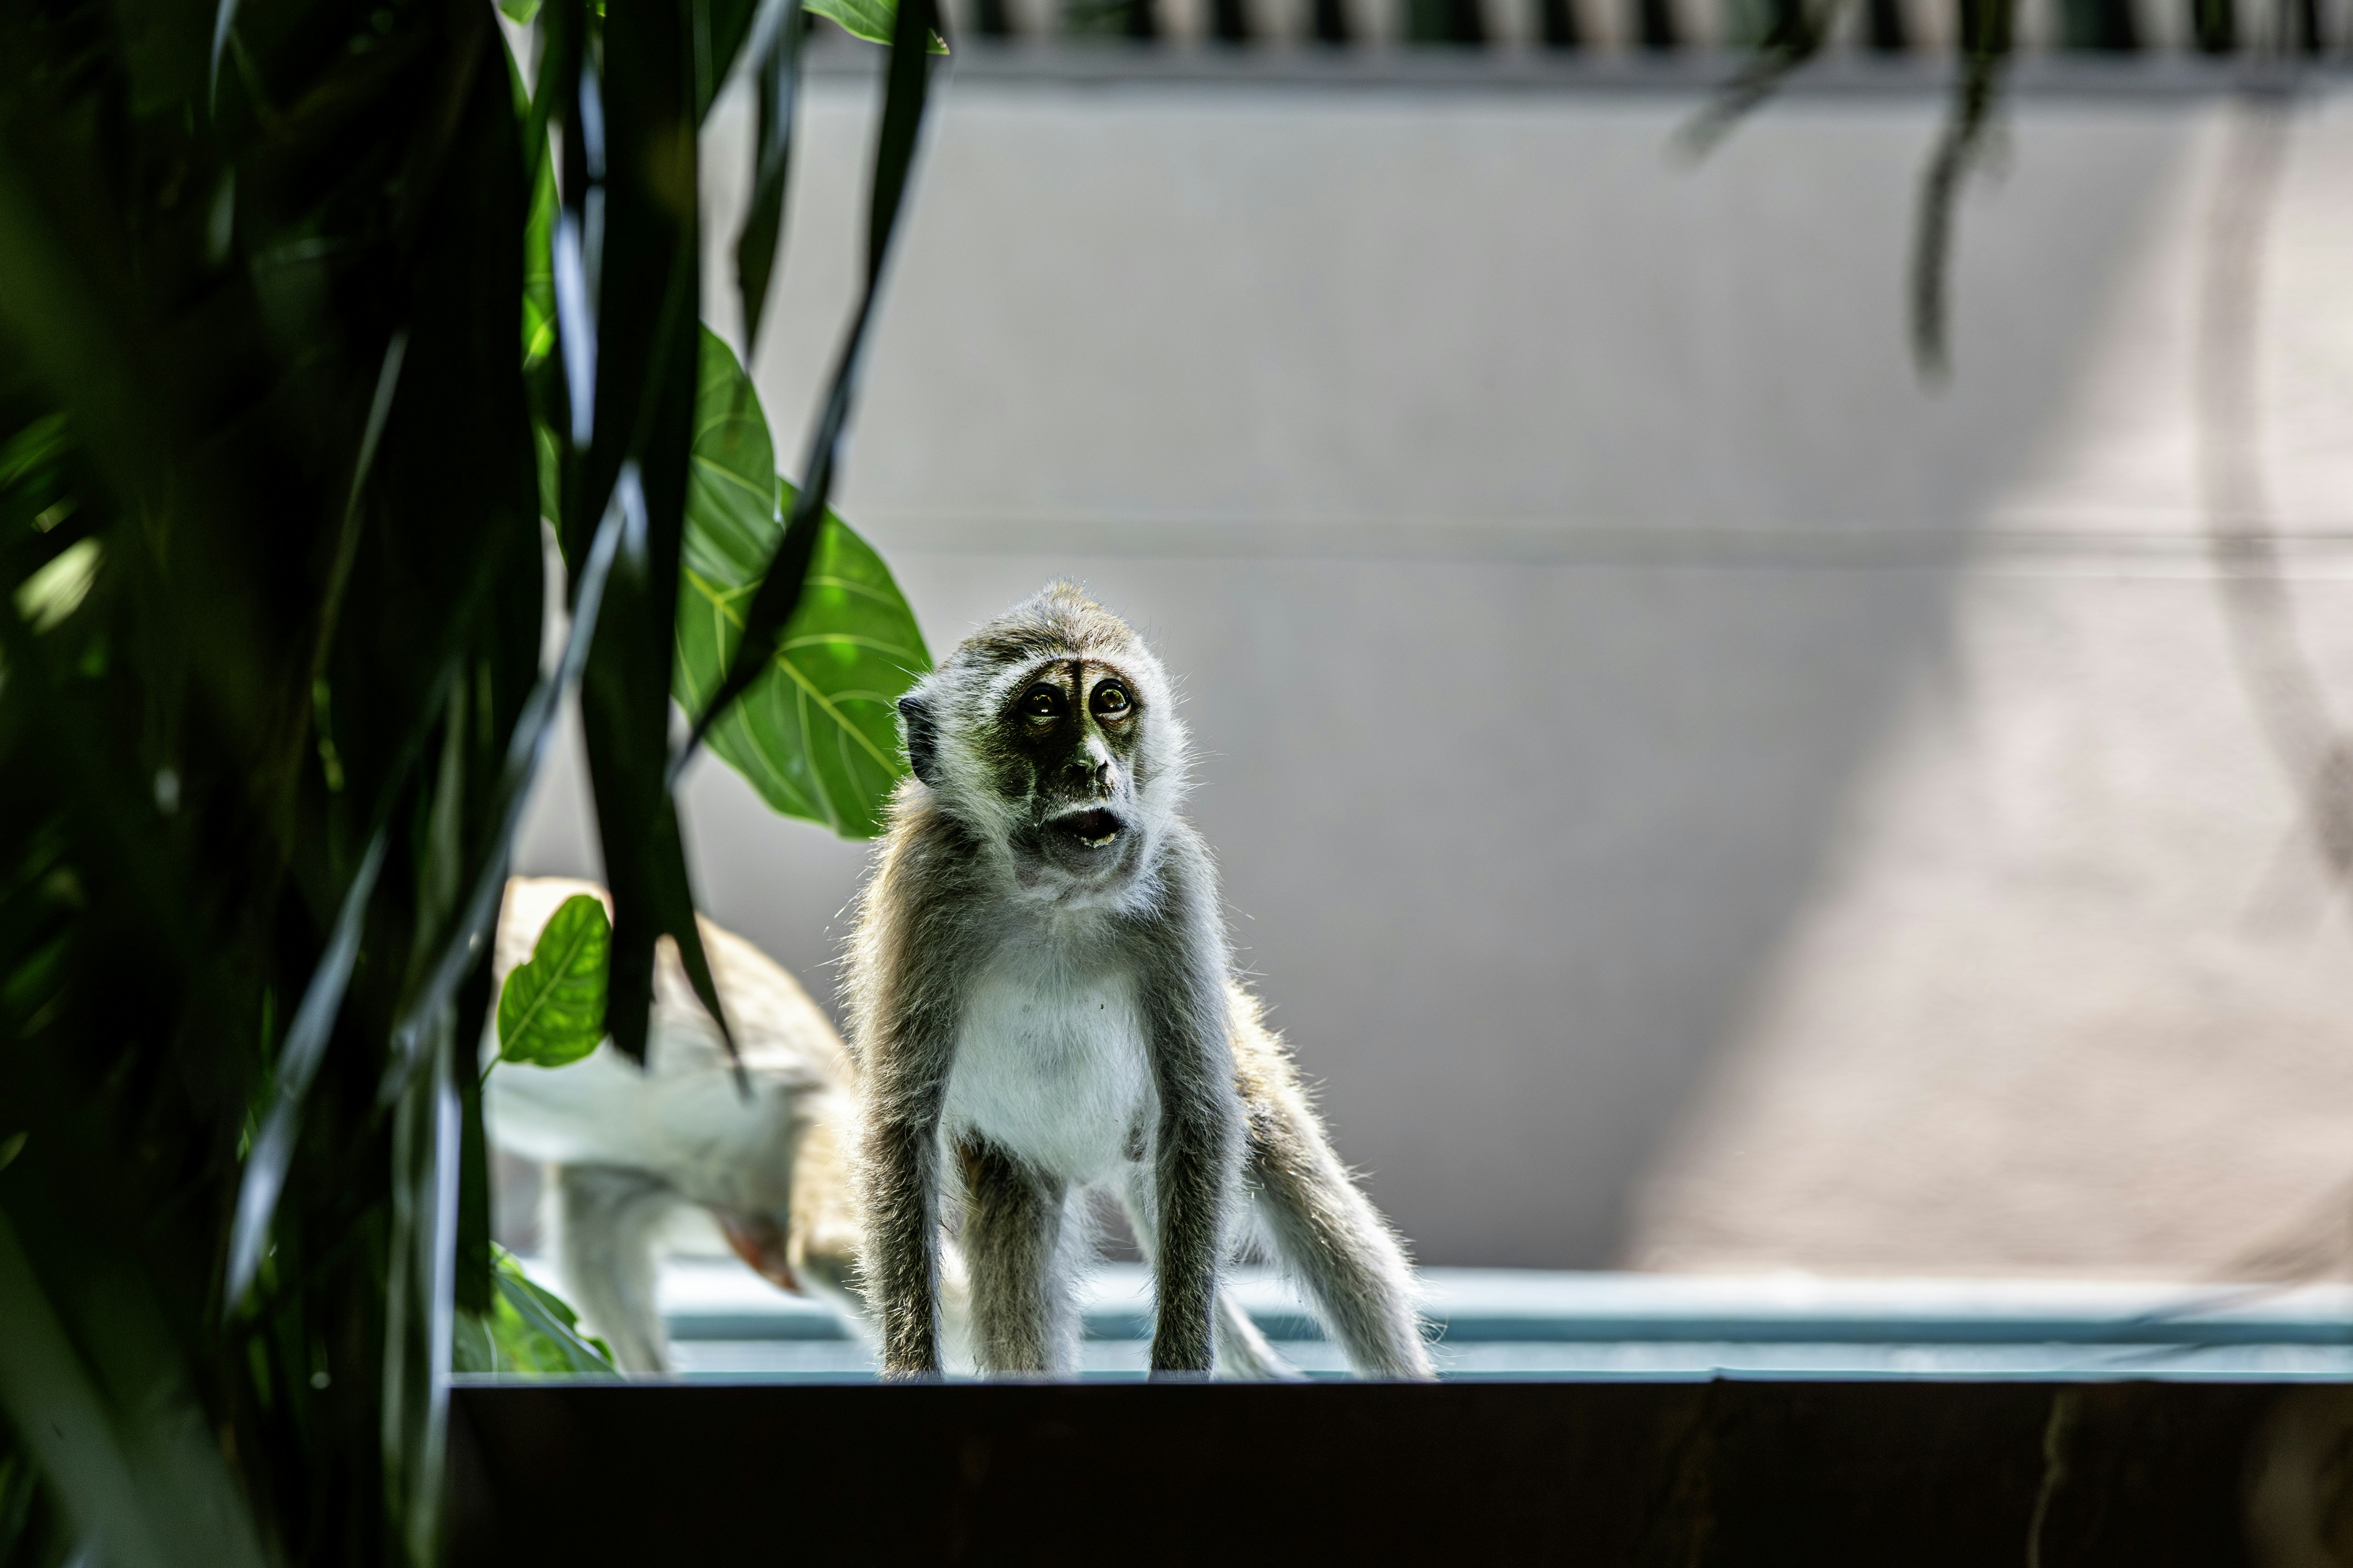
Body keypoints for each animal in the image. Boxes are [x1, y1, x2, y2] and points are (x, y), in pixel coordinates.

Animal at [848, 581, 1435, 1381]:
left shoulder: (1177, 883)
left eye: (1110, 701)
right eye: (1043, 706)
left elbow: (1198, 1113)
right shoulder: (922, 883)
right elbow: (902, 1126)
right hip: (1015, 1163)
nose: (1096, 766)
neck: (1055, 897)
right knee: (1019, 1279)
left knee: (1316, 1214)